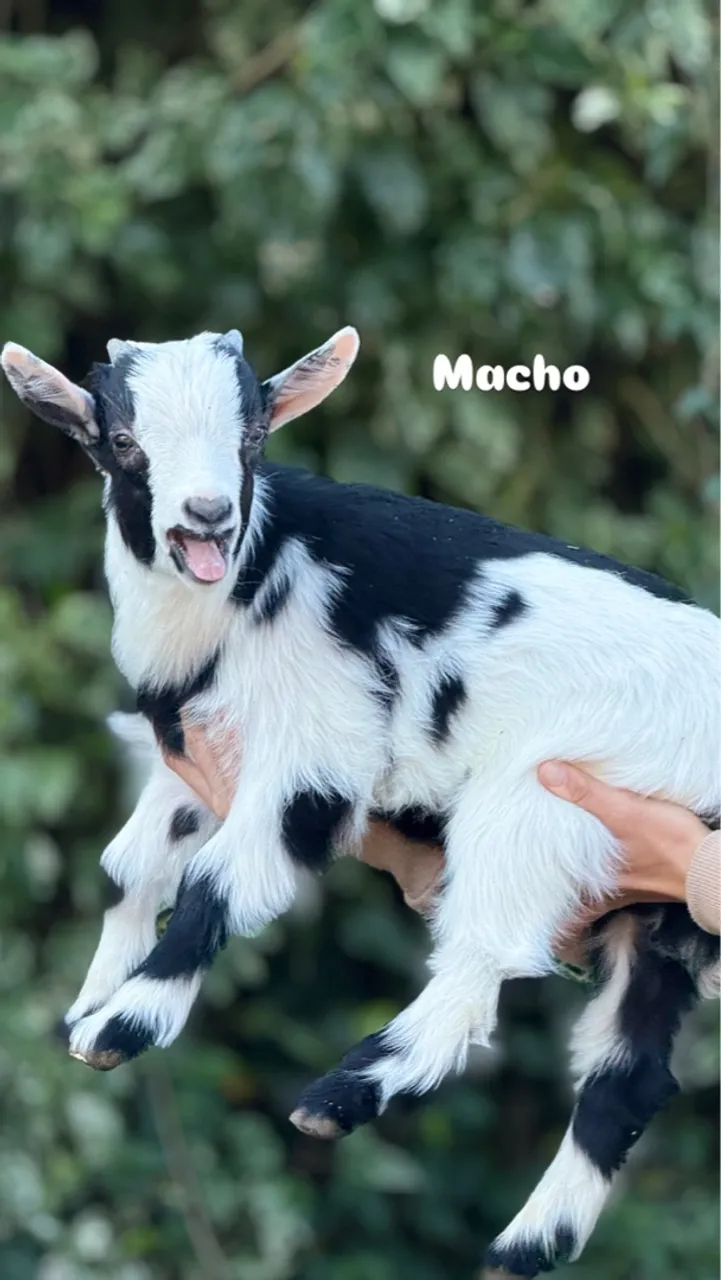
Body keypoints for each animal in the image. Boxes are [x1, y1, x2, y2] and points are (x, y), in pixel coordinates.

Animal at [2, 328, 718, 1277]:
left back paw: (340, 1096)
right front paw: (92, 997)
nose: (208, 514)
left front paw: (125, 1021)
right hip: (655, 909)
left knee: (479, 965)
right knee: (626, 1073)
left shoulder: (315, 743)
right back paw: (528, 1240)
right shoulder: (203, 762)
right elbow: (129, 867)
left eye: (252, 439)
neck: (250, 580)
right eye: (122, 441)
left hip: (540, 804)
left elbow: (212, 886)